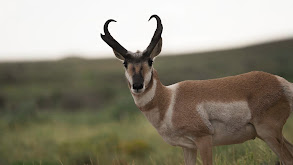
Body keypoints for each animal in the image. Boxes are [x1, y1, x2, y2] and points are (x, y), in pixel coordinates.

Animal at [100, 14, 292, 164]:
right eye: (125, 63)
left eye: (150, 61)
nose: (138, 85)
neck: (169, 100)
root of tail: (281, 82)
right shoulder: (188, 147)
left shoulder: (204, 140)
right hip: (269, 134)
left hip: (268, 132)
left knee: (287, 158)